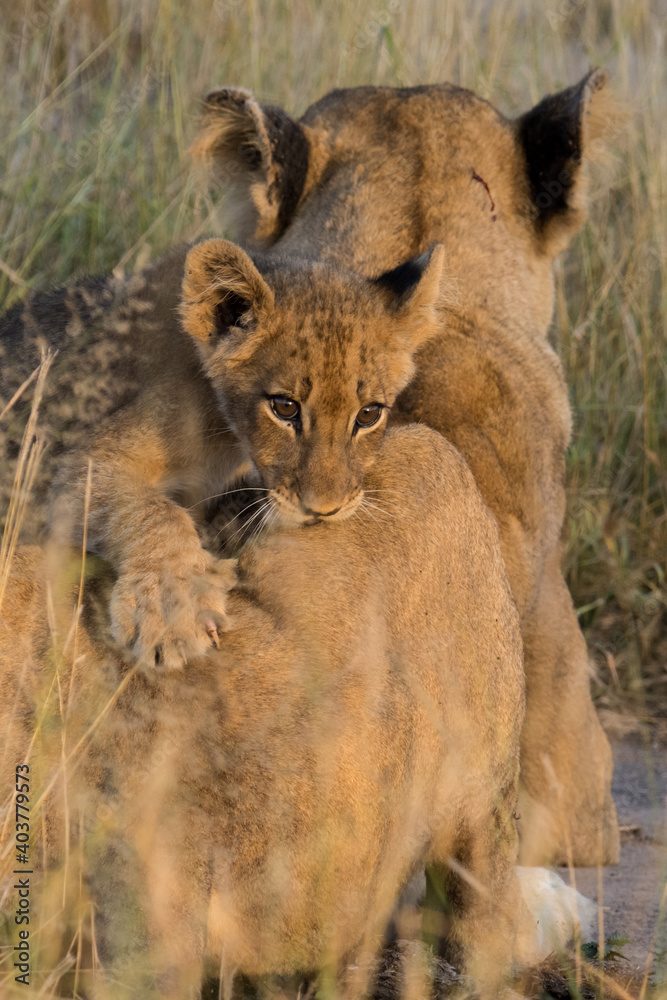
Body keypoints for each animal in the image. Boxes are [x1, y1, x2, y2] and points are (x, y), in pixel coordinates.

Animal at [0, 239, 443, 670]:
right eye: (285, 408)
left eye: (368, 414)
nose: (323, 510)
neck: (229, 436)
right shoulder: (81, 462)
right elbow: (152, 512)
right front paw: (172, 612)